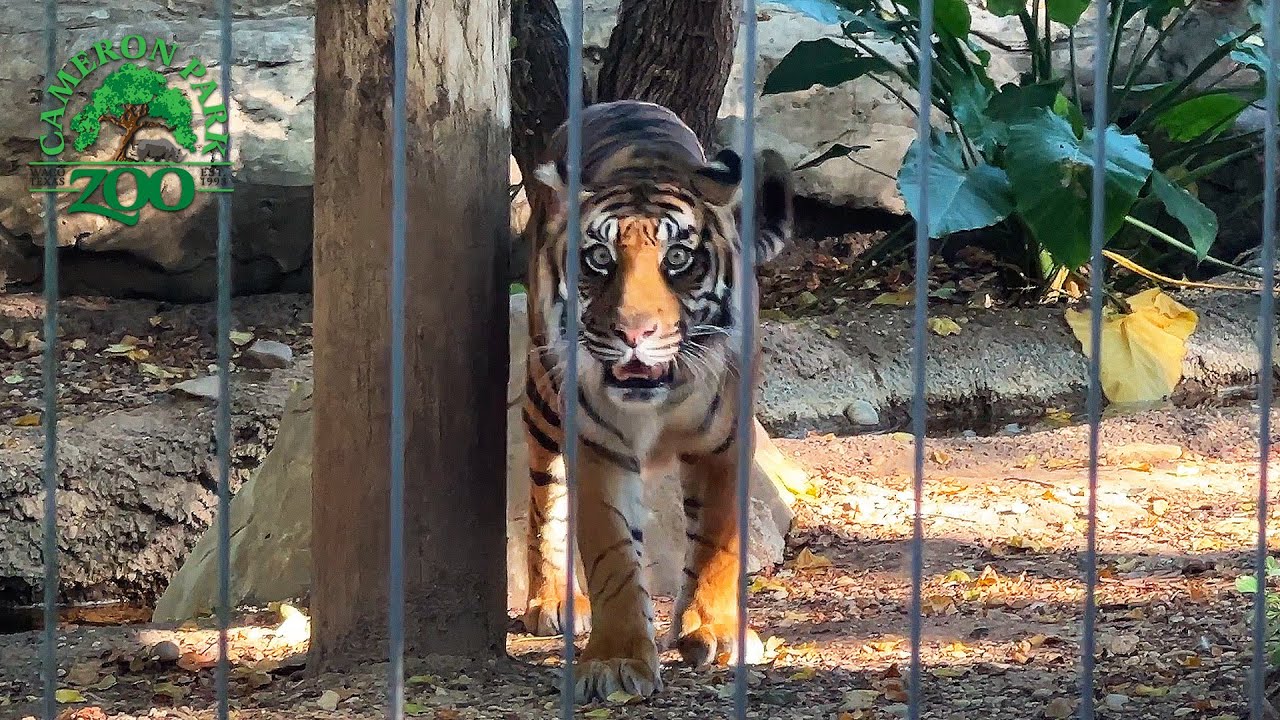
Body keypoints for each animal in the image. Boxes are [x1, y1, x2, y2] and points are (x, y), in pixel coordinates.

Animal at [519, 99, 794, 703]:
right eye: (600, 258)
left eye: (679, 259)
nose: (634, 332)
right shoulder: (597, 445)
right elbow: (612, 554)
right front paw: (618, 659)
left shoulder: (723, 443)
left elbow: (716, 542)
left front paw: (714, 631)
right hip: (542, 394)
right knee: (544, 495)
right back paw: (551, 600)